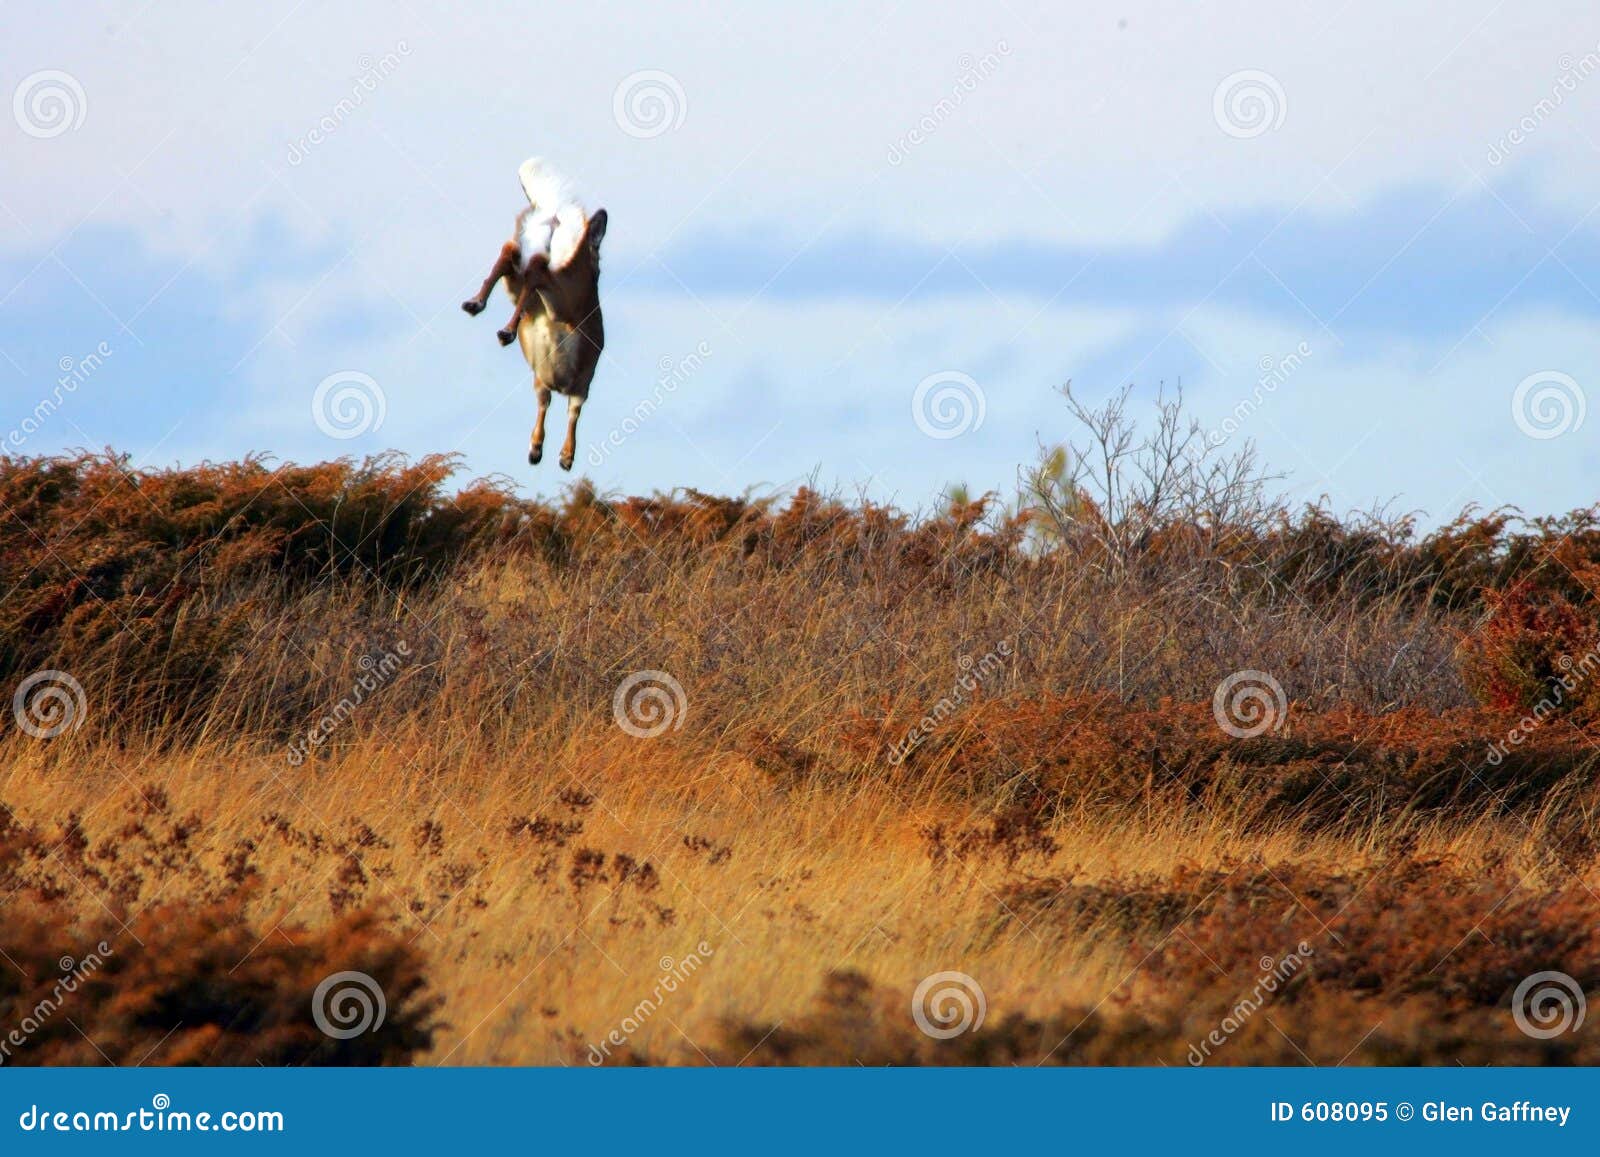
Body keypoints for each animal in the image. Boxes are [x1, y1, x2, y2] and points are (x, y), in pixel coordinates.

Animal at [462, 158, 608, 470]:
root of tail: (556, 213)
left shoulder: (542, 380)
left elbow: (544, 403)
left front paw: (536, 449)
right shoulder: (581, 384)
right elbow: (571, 412)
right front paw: (562, 457)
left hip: (524, 273)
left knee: (513, 255)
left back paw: (477, 306)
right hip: (565, 295)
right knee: (538, 270)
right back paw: (504, 330)